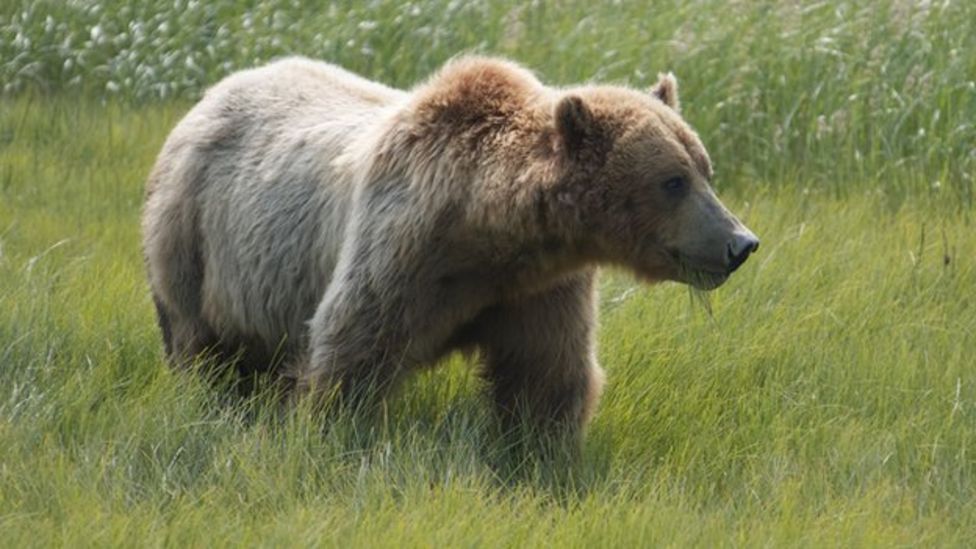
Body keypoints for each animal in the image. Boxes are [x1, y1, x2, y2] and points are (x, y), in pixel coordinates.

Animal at [142, 55, 758, 438]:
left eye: (705, 169)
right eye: (672, 181)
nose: (740, 243)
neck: (488, 236)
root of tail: (211, 94)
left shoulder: (538, 288)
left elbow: (545, 373)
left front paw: (542, 451)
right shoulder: (401, 249)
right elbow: (352, 348)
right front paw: (331, 430)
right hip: (193, 236)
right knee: (197, 342)